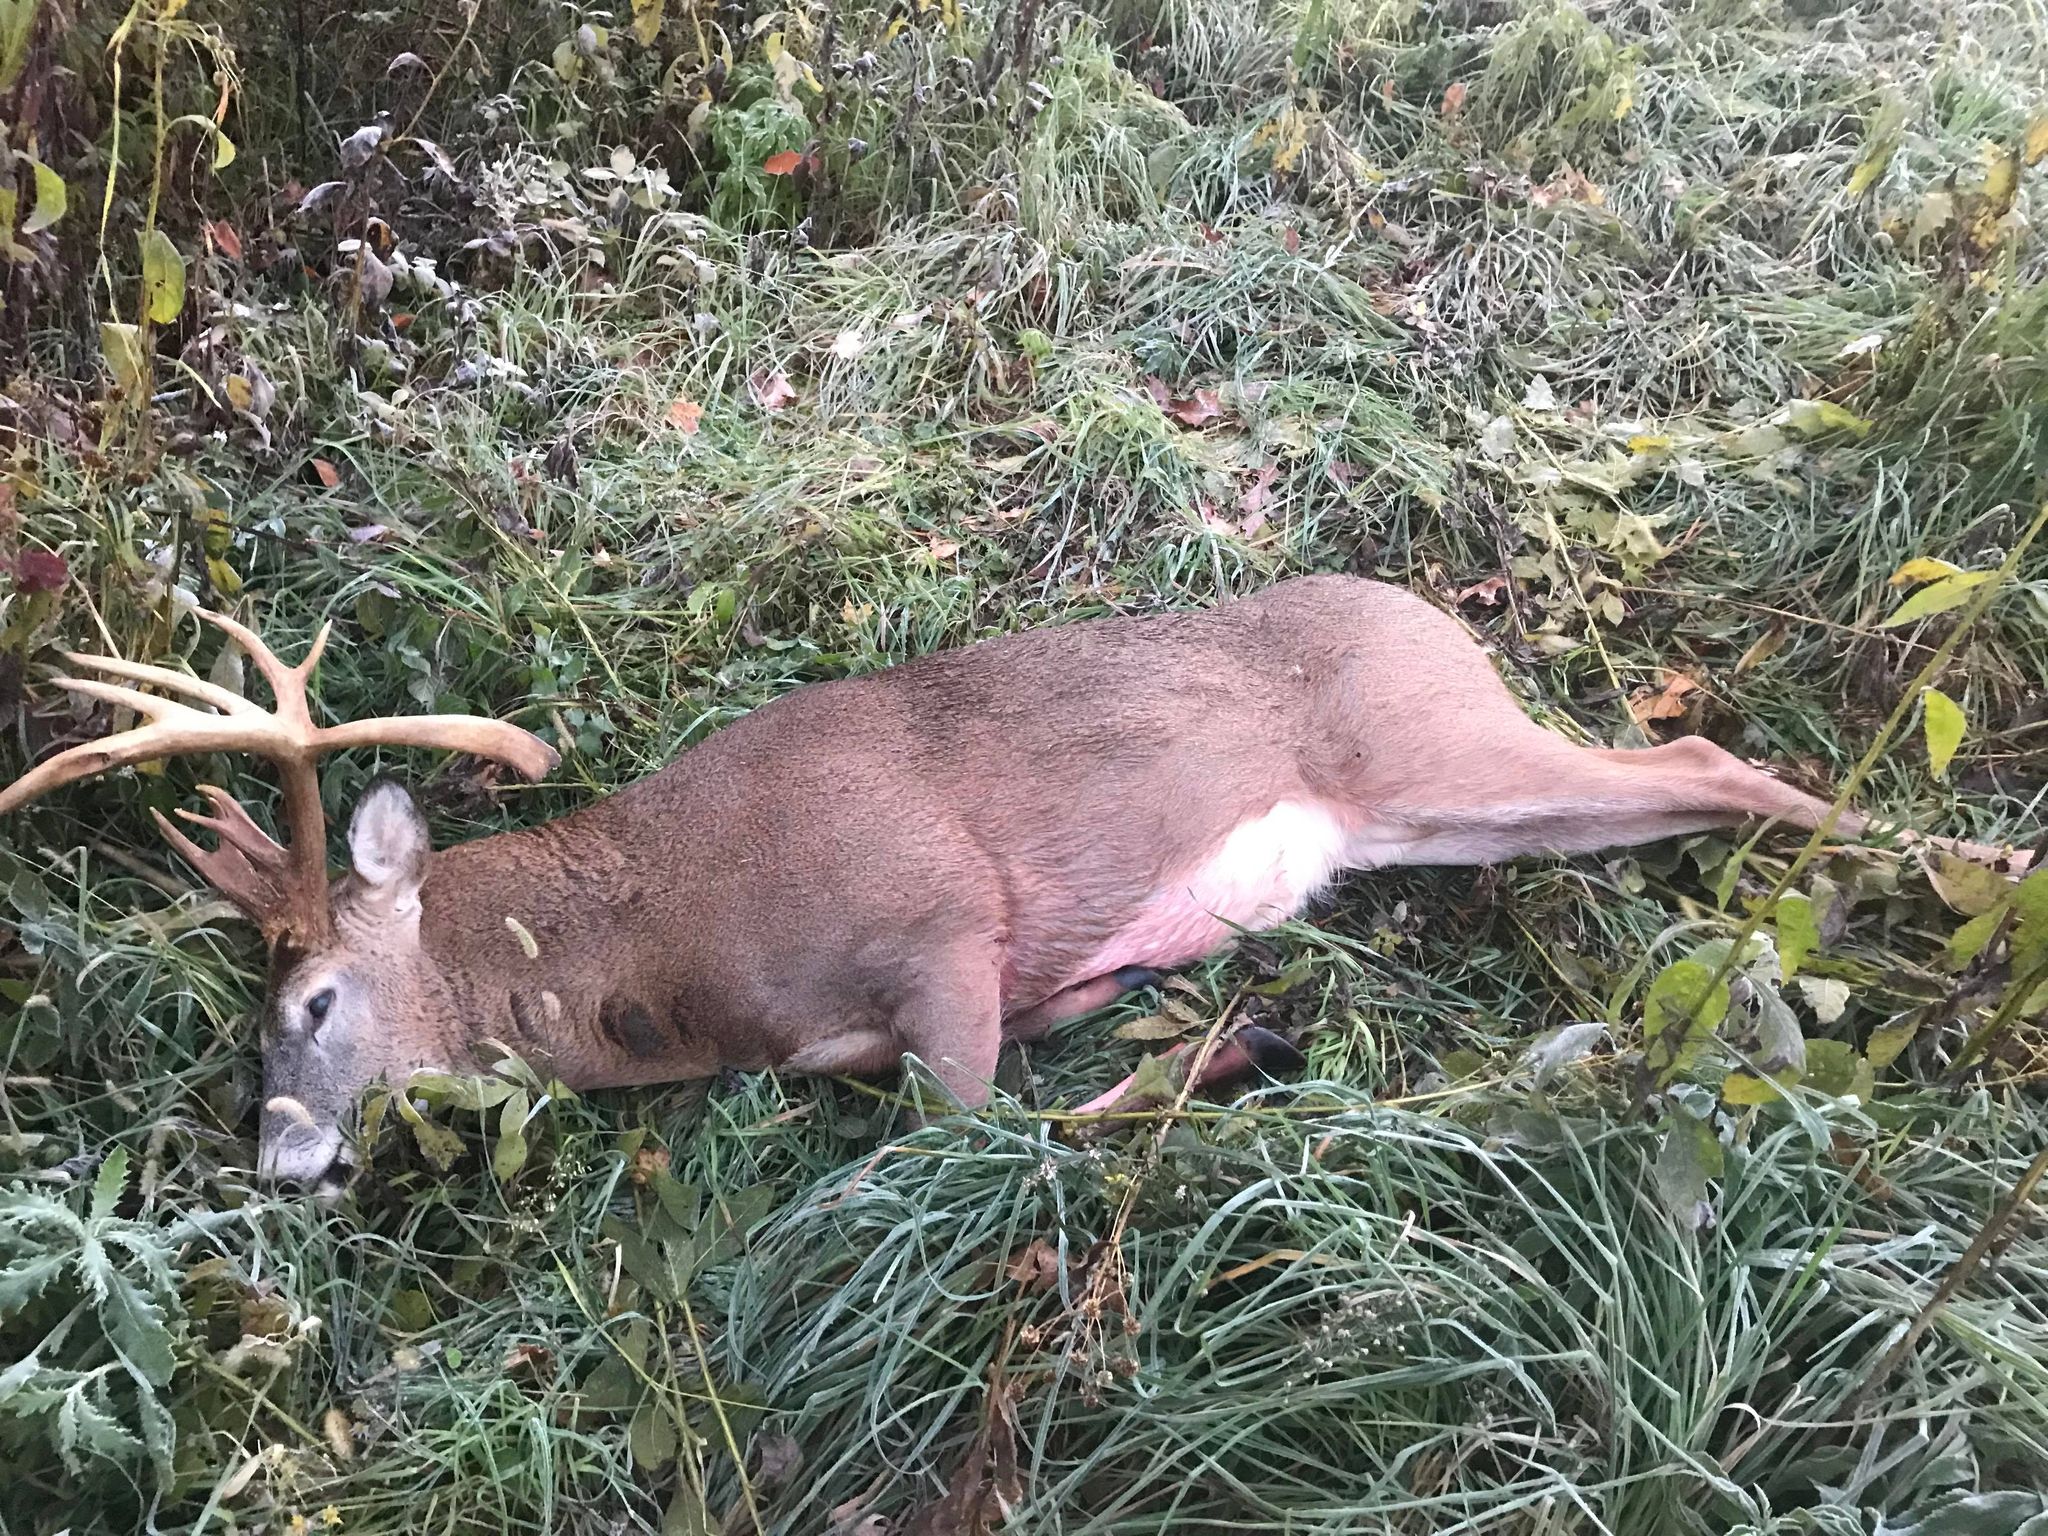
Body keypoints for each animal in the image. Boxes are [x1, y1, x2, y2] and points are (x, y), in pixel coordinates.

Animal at [1, 576, 2028, 1187]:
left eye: (312, 998)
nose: (272, 1152)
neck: (655, 956)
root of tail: (1428, 609)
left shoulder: (937, 927)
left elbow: (990, 1132)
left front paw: (1239, 1045)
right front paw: (1198, 1019)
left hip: (1432, 743)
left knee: (1711, 762)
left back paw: (1984, 875)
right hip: (1444, 804)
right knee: (1679, 793)